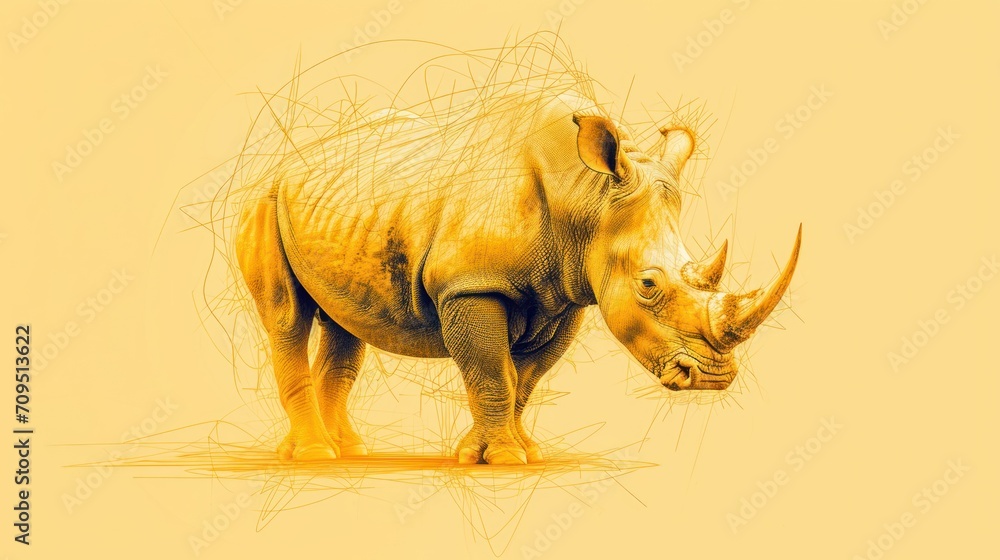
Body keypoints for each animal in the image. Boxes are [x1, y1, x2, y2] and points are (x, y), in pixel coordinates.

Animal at [235, 84, 800, 465]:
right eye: (648, 285)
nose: (712, 378)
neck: (586, 198)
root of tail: (286, 164)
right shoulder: (470, 286)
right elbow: (491, 372)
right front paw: (502, 460)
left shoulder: (566, 294)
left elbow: (523, 378)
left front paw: (516, 451)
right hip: (265, 200)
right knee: (286, 318)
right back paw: (315, 456)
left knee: (345, 323)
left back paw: (348, 450)